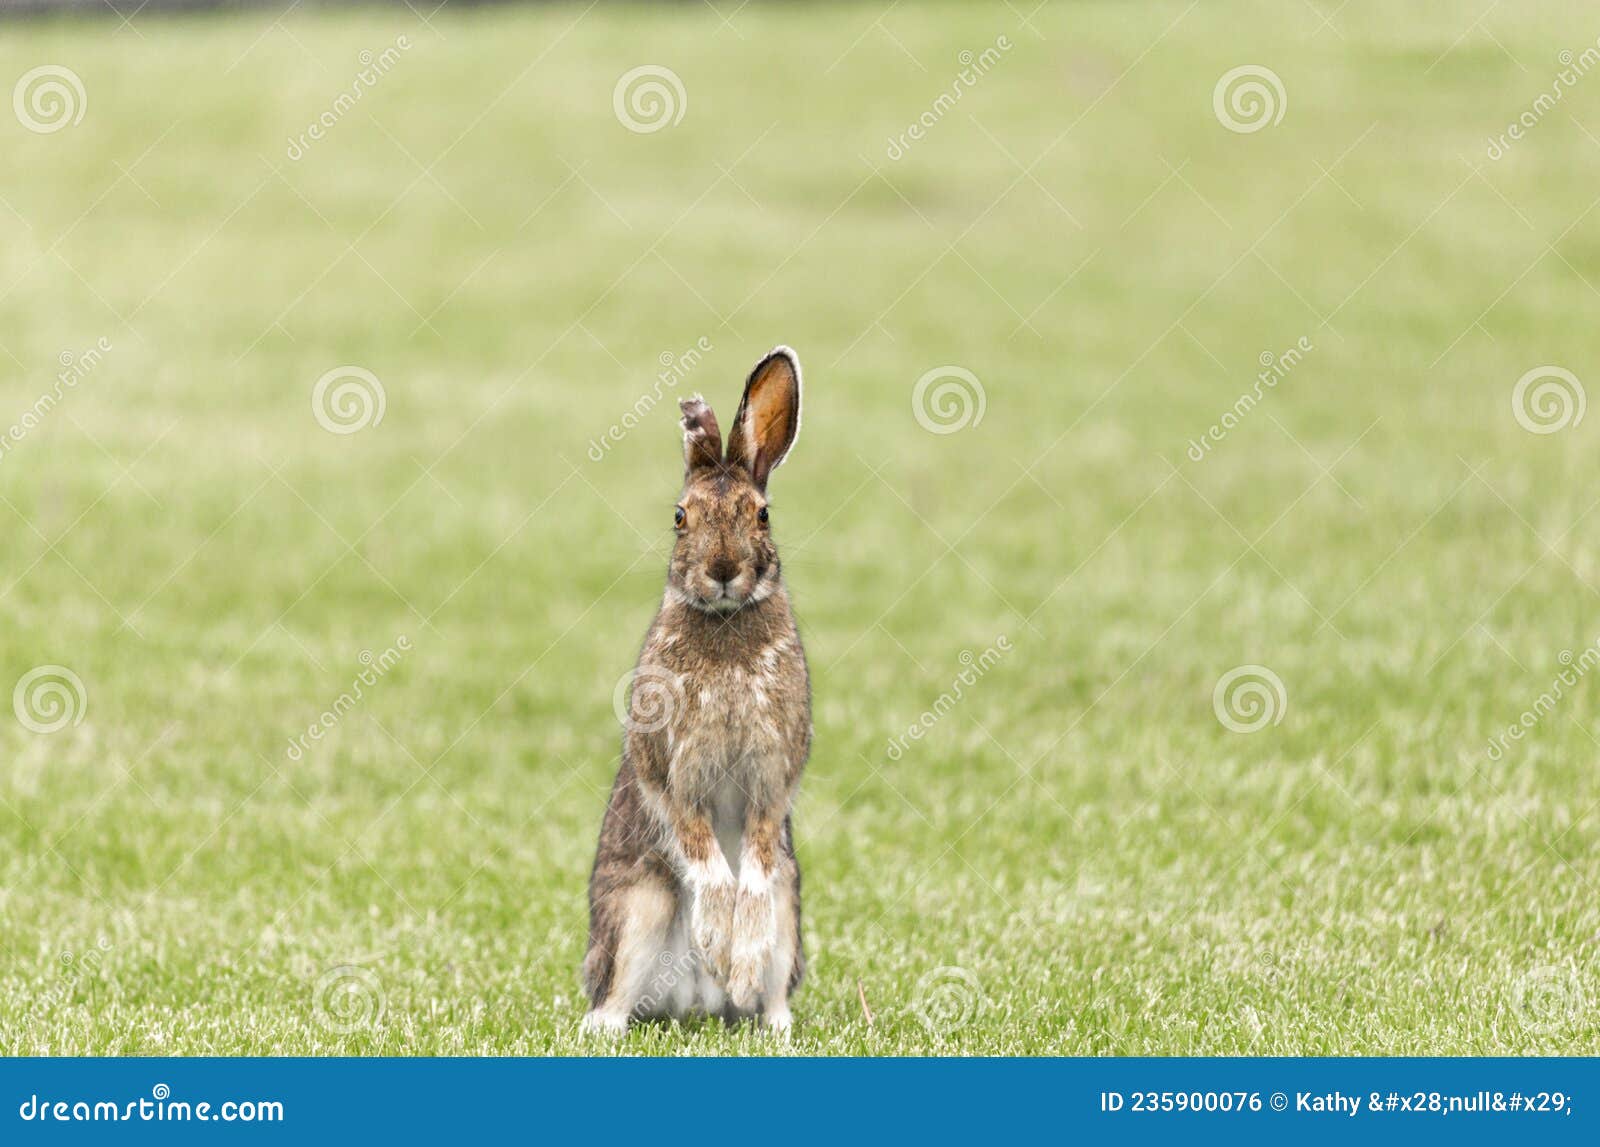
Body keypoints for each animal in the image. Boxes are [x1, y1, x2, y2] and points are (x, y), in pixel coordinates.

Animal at [581, 346, 811, 1035]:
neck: (726, 620)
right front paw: (717, 936)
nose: (724, 569)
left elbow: (754, 864)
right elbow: (703, 852)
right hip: (640, 909)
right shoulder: (672, 770)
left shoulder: (773, 773)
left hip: (792, 908)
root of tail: (695, 1003)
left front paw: (738, 950)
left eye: (762, 514)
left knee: (773, 981)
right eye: (680, 517)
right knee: (612, 997)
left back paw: (758, 1006)